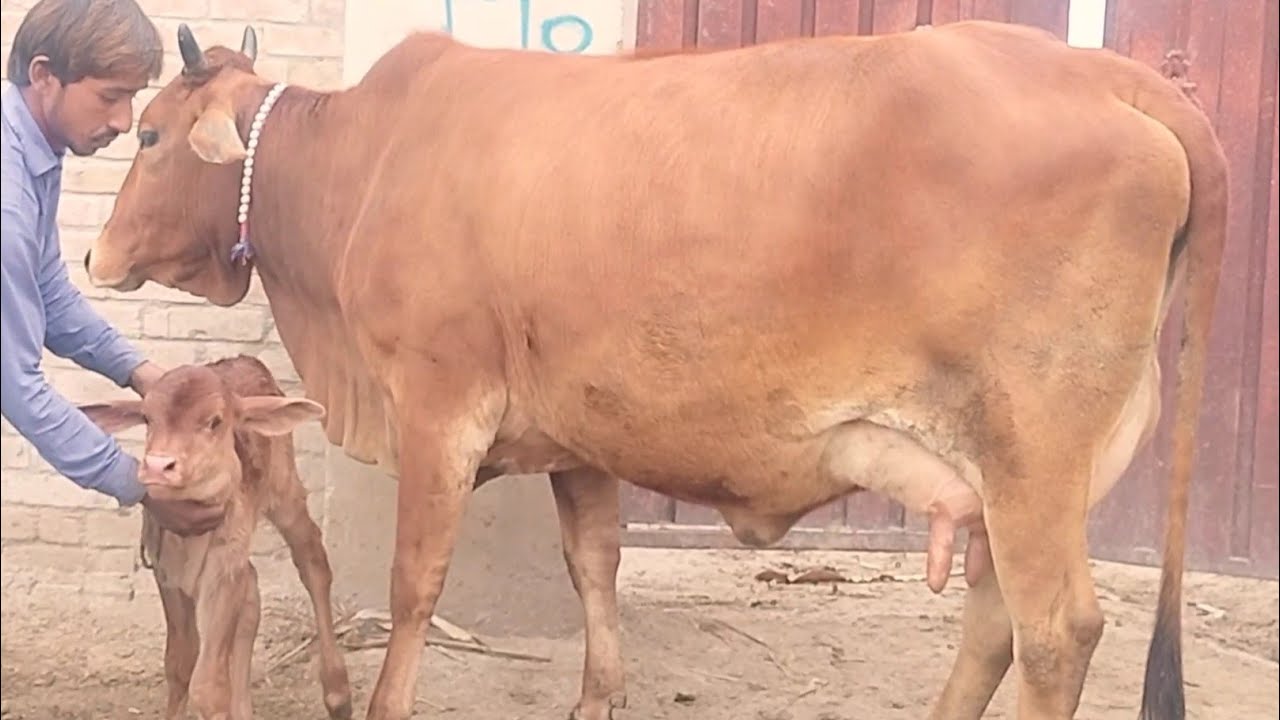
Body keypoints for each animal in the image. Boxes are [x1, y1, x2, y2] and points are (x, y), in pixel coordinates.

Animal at [80, 356, 352, 720]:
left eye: (214, 421)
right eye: (148, 418)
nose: (158, 466)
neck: (190, 542)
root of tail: (245, 360)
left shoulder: (222, 573)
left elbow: (209, 686)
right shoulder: (167, 573)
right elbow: (180, 663)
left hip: (284, 489)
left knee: (313, 561)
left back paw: (338, 694)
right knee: (251, 592)